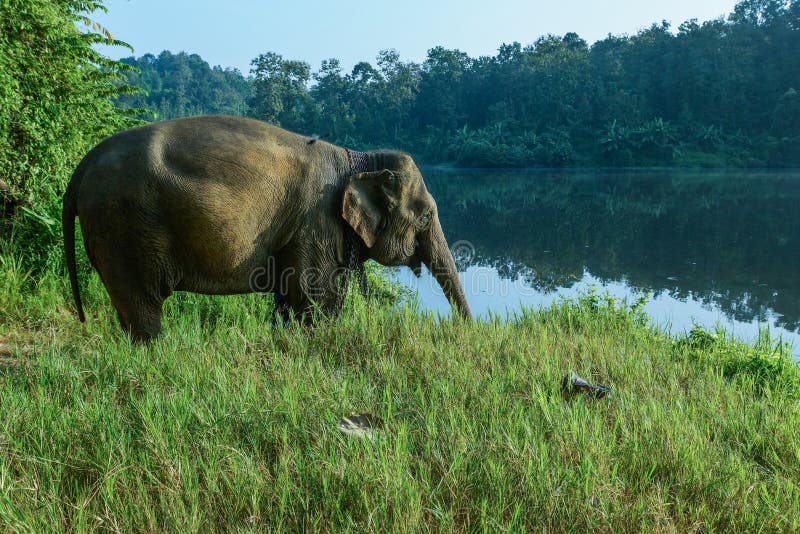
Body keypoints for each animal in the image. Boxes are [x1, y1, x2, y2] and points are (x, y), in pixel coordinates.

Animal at [62, 115, 471, 342]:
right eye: (425, 217)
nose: (467, 332)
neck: (358, 159)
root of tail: (83, 166)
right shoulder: (316, 222)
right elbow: (314, 297)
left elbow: (295, 298)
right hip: (126, 226)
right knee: (143, 309)